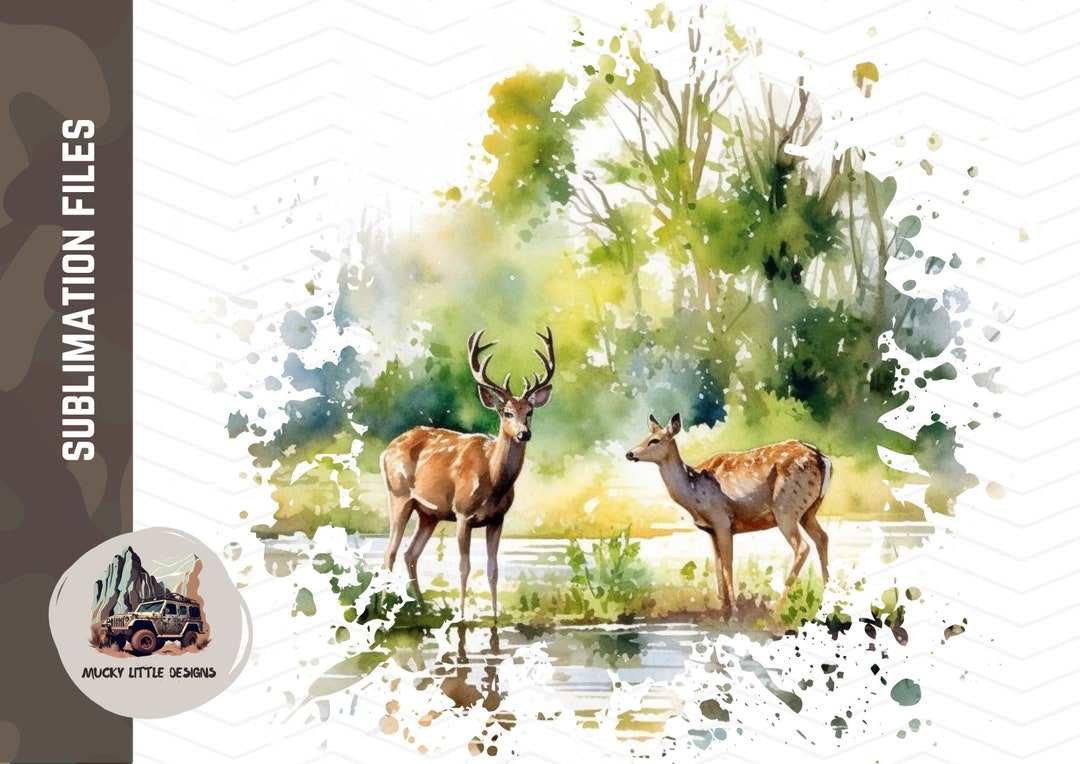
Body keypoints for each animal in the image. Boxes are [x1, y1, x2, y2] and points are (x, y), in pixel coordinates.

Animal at [380, 327, 555, 620]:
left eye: (529, 412)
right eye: (506, 413)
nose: (524, 433)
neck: (493, 481)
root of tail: (386, 450)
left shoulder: (497, 518)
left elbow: (493, 569)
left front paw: (494, 616)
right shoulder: (462, 513)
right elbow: (464, 567)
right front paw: (462, 615)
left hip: (429, 513)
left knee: (410, 553)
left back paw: (423, 608)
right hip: (399, 495)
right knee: (390, 552)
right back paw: (383, 610)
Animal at [625, 414, 831, 620]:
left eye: (654, 440)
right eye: (645, 437)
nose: (630, 454)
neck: (693, 490)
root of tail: (822, 457)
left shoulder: (722, 520)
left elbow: (727, 564)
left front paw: (734, 612)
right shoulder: (711, 529)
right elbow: (717, 566)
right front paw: (722, 611)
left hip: (785, 508)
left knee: (802, 546)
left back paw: (776, 607)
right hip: (809, 511)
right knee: (822, 538)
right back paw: (826, 597)